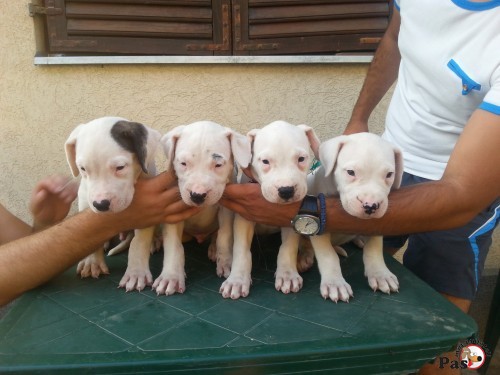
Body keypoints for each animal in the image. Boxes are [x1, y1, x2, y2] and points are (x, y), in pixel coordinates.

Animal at [154, 120, 252, 296]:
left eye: (218, 165)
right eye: (183, 163)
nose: (197, 195)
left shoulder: (226, 209)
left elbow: (224, 236)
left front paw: (225, 261)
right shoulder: (173, 212)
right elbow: (173, 245)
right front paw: (170, 276)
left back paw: (213, 248)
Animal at [221, 120, 322, 300]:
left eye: (301, 159)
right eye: (265, 162)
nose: (286, 190)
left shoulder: (290, 219)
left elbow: (287, 247)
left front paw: (287, 275)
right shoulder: (244, 218)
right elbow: (241, 250)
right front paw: (237, 280)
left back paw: (304, 257)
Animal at [306, 132, 404, 302]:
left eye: (389, 175)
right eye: (351, 172)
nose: (371, 206)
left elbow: (374, 248)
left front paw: (380, 274)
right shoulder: (319, 226)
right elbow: (328, 255)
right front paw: (335, 283)